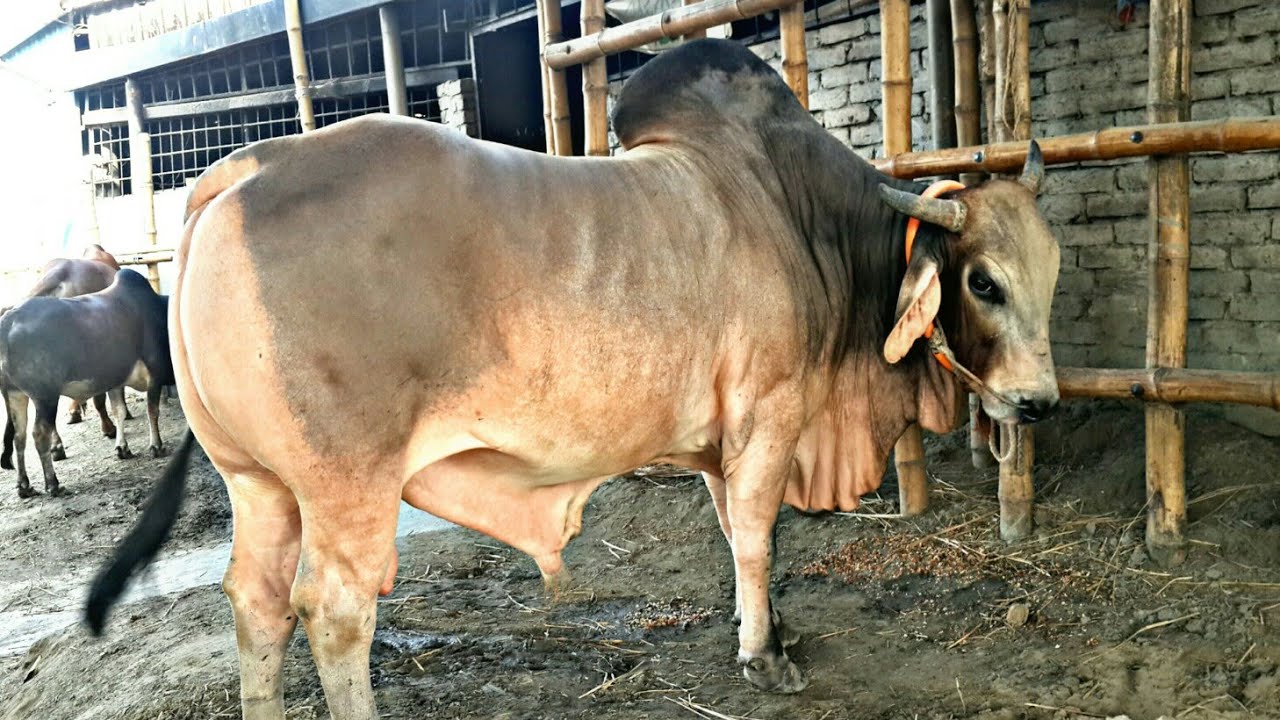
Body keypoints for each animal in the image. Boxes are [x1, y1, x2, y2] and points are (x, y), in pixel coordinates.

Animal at [0, 269, 174, 498]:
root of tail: (8, 320)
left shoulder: (116, 381)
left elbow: (119, 411)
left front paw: (123, 448)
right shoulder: (154, 374)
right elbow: (152, 411)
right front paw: (156, 446)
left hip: (15, 393)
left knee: (19, 436)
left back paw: (24, 486)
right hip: (45, 396)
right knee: (39, 434)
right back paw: (53, 483)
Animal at [86, 39, 1060, 719]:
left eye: (1051, 270)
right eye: (982, 281)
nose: (1038, 401)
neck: (799, 217)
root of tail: (243, 167)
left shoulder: (719, 437)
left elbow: (733, 531)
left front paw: (771, 630)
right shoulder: (770, 414)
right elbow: (756, 535)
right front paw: (764, 656)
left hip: (257, 483)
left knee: (257, 605)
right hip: (346, 486)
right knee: (333, 610)